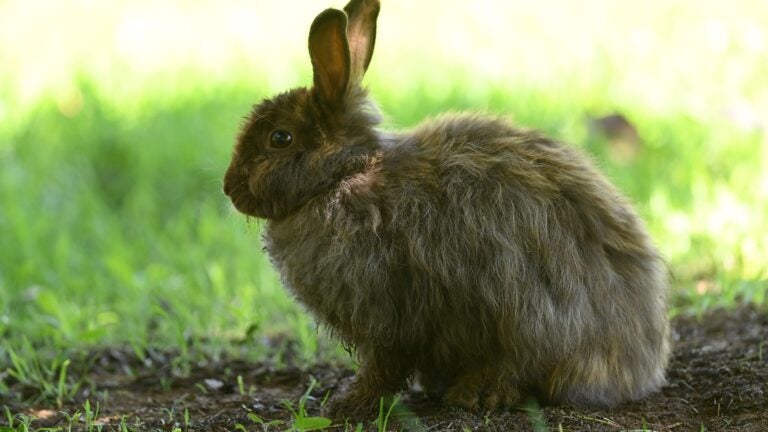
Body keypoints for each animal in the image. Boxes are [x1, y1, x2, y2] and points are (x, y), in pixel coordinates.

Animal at [223, 0, 670, 419]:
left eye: (280, 138)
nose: (230, 189)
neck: (343, 174)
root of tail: (637, 369)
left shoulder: (389, 310)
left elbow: (384, 365)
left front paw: (351, 406)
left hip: (526, 317)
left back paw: (476, 392)